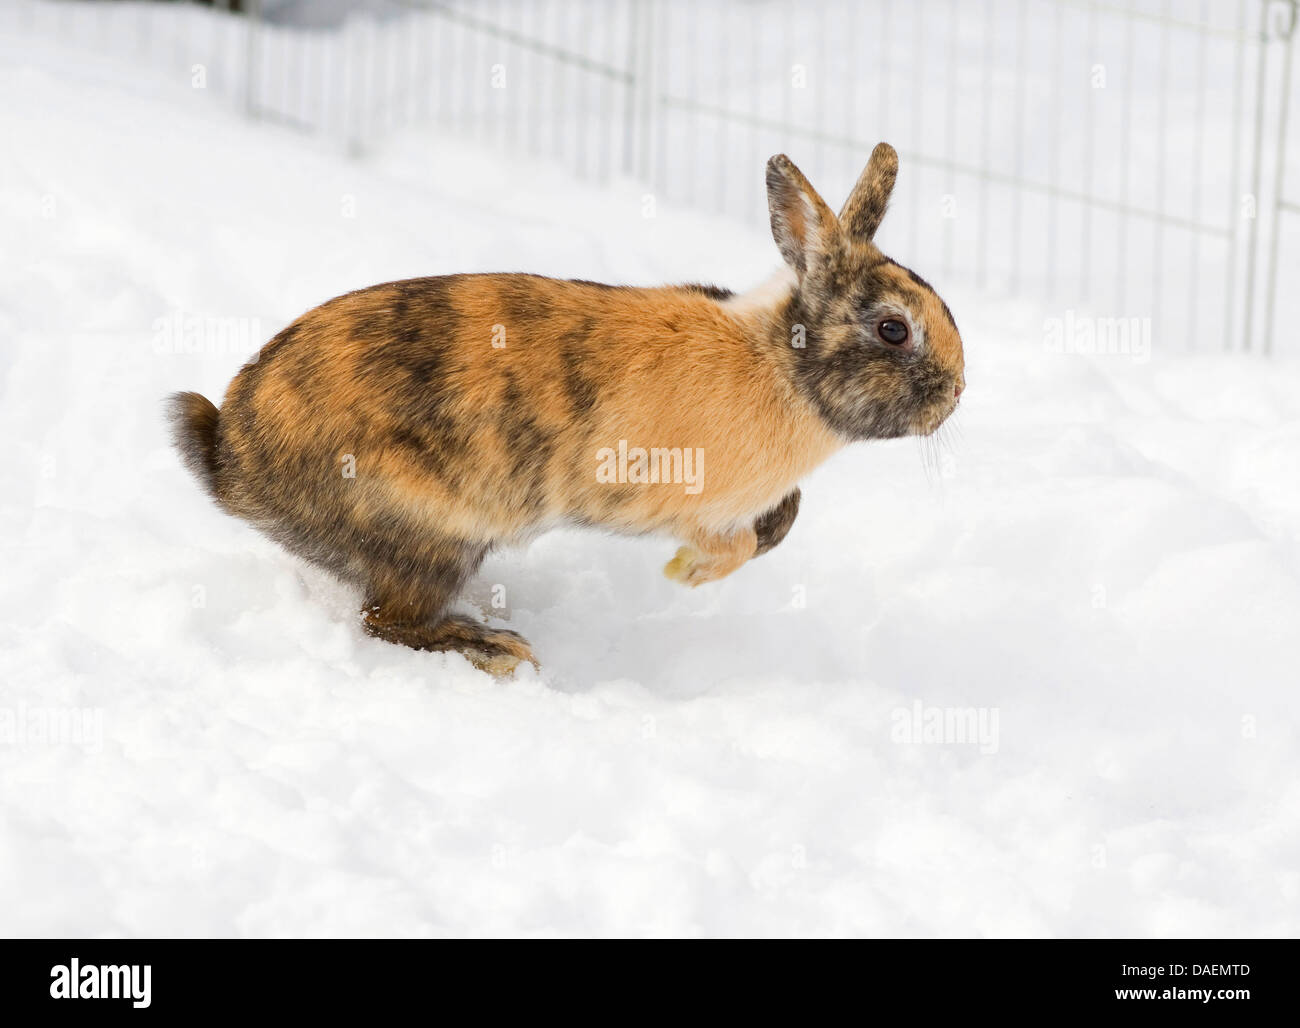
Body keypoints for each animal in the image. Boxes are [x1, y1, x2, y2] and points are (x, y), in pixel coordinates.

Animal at [168, 143, 965, 675]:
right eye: (893, 329)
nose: (957, 394)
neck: (782, 363)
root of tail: (230, 459)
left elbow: (781, 520)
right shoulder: (684, 497)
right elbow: (735, 543)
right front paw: (684, 575)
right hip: (431, 530)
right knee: (384, 620)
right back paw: (495, 648)